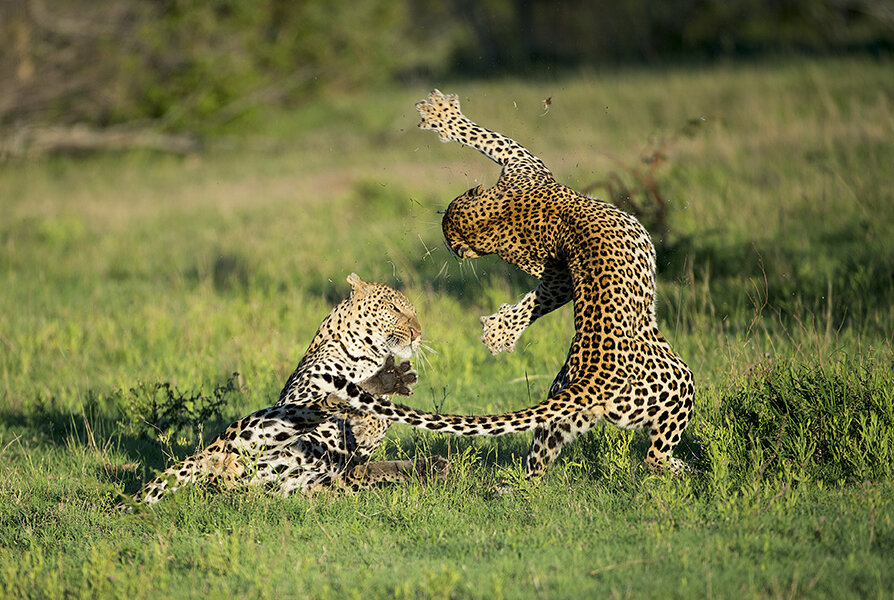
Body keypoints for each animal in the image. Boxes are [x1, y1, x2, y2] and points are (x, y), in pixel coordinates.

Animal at [134, 274, 452, 506]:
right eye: (394, 308)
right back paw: (384, 381)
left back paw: (431, 466)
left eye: (414, 313)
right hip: (257, 435)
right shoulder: (303, 391)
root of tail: (206, 456)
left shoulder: (358, 451)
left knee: (362, 471)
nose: (417, 334)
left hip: (303, 483)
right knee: (323, 406)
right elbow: (334, 398)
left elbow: (370, 433)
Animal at [332, 91, 696, 480]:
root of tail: (593, 379)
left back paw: (521, 485)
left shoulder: (550, 262)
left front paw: (498, 332)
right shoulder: (526, 164)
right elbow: (486, 136)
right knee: (653, 456)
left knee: (537, 460)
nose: (451, 249)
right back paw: (682, 469)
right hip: (679, 384)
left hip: (560, 412)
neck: (498, 215)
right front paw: (443, 114)